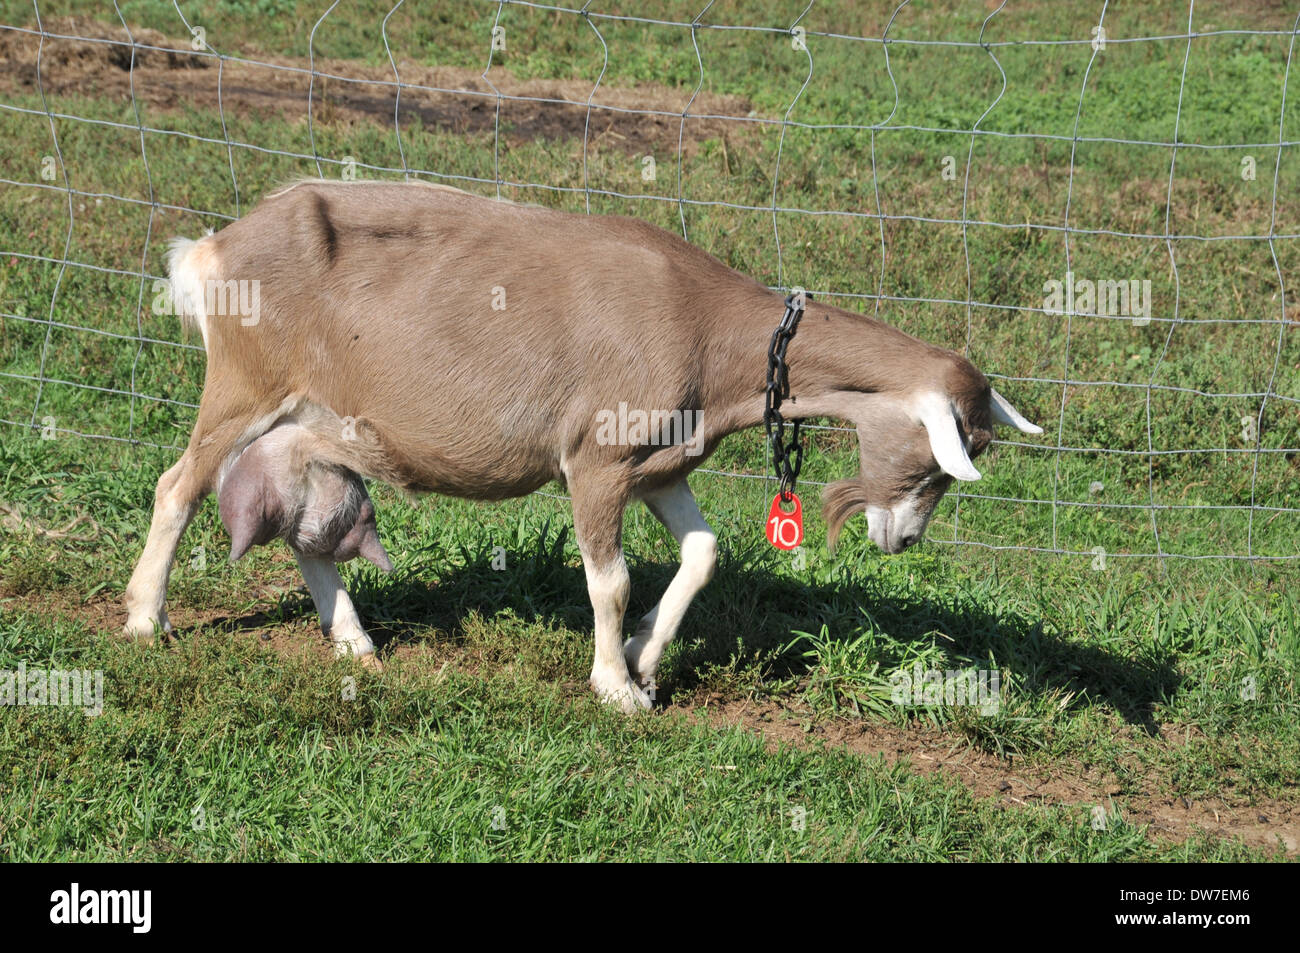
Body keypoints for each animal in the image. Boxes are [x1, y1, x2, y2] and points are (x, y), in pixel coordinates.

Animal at [124, 179, 1043, 711]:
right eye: (937, 459)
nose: (905, 537)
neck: (708, 327)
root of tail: (214, 248)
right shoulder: (597, 460)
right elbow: (610, 579)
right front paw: (615, 686)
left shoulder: (660, 463)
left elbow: (704, 553)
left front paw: (642, 653)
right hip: (244, 385)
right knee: (178, 485)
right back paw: (143, 619)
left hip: (313, 421)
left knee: (308, 523)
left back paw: (354, 640)